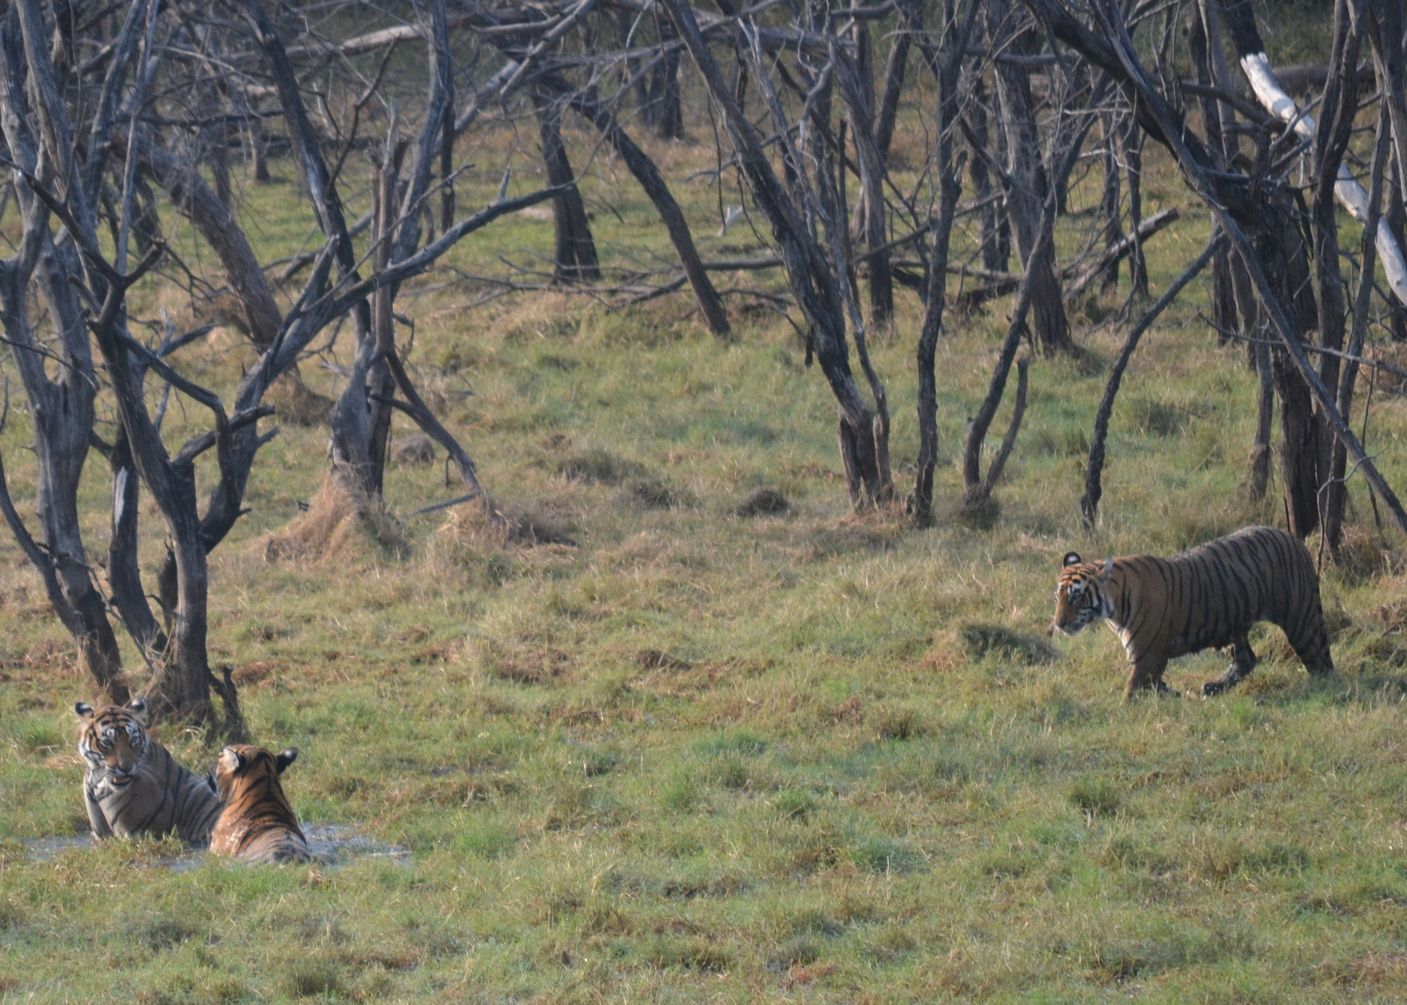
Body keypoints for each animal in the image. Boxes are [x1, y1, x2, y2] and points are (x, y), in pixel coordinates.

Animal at [74, 698, 223, 845]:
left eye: (133, 740)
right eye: (107, 743)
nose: (126, 768)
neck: (96, 777)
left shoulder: (130, 835)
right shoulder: (99, 834)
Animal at [1052, 525, 1334, 699]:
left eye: (1076, 597)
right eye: (1058, 597)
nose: (1058, 624)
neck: (1114, 606)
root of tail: (1293, 538)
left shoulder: (1147, 656)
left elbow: (1132, 689)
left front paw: (1122, 709)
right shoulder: (1149, 658)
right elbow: (1154, 684)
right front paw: (1172, 695)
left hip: (1301, 620)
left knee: (1321, 662)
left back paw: (1323, 688)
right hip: (1232, 625)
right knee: (1247, 659)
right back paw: (1213, 687)